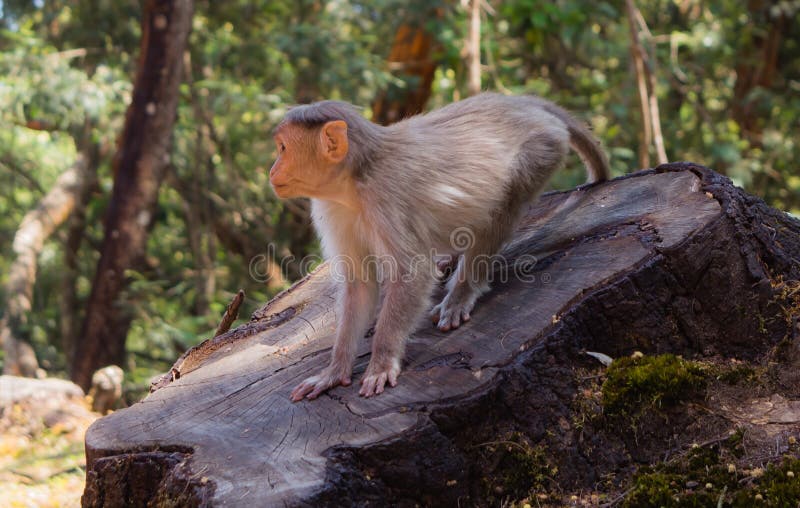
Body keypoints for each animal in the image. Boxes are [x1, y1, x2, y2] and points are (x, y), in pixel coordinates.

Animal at [269, 92, 609, 401]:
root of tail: (520, 102)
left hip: (540, 148)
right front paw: (335, 370)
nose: (272, 170)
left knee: (502, 205)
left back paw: (461, 292)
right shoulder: (335, 208)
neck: (355, 179)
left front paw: (382, 361)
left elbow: (413, 274)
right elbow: (360, 284)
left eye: (283, 148)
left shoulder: (386, 196)